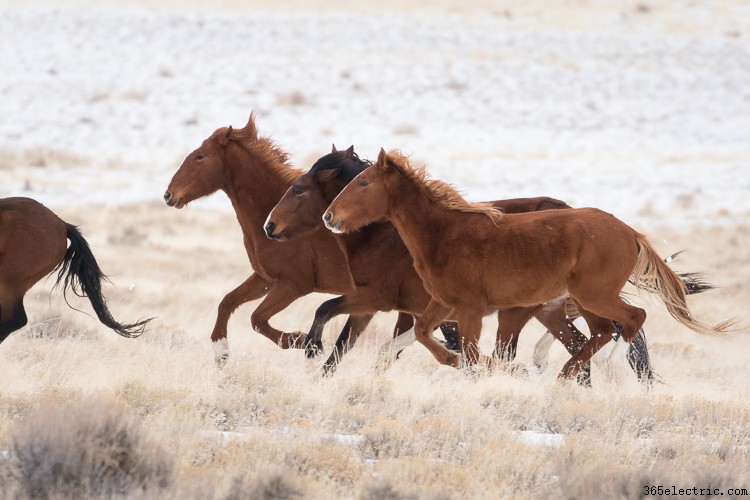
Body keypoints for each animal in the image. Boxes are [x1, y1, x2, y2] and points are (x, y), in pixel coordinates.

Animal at [164, 113, 418, 364]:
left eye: (199, 156)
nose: (168, 194)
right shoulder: (265, 279)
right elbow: (227, 302)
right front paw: (221, 351)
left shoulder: (293, 284)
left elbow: (257, 319)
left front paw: (304, 341)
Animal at [324, 148, 736, 378]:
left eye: (363, 184)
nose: (330, 217)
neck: (445, 233)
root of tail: (631, 232)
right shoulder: (443, 303)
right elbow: (427, 336)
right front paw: (472, 364)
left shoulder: (471, 309)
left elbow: (470, 352)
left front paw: (492, 369)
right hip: (584, 300)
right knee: (602, 332)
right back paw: (565, 375)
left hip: (594, 294)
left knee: (632, 319)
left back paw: (601, 367)